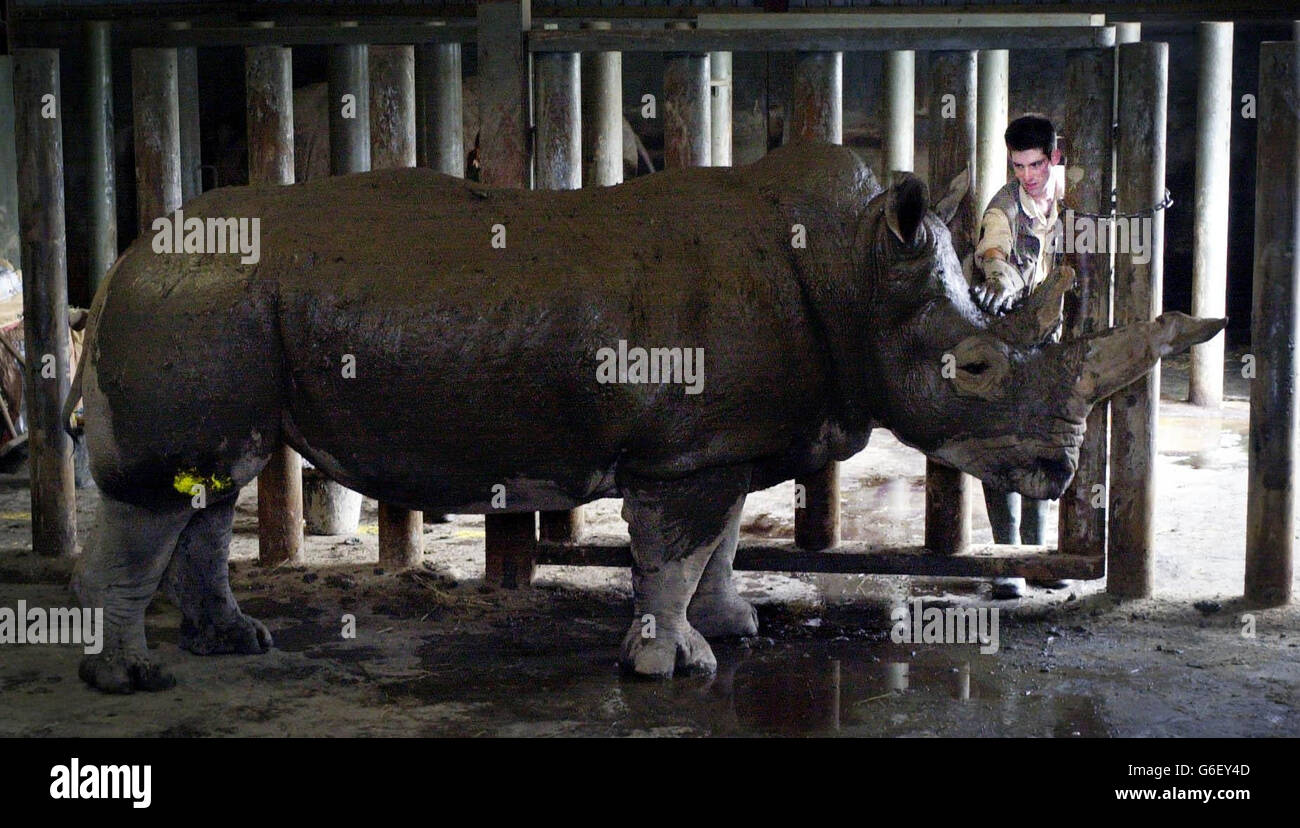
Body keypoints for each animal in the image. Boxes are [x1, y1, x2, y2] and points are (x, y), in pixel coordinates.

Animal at [67, 140, 1223, 693]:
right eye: (974, 366)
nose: (1058, 471)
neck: (856, 272)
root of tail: (124, 255)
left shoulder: (724, 438)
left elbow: (718, 542)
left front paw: (731, 626)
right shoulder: (685, 452)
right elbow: (673, 548)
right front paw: (677, 666)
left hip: (215, 302)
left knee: (214, 480)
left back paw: (233, 643)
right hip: (198, 300)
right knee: (163, 490)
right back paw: (132, 678)